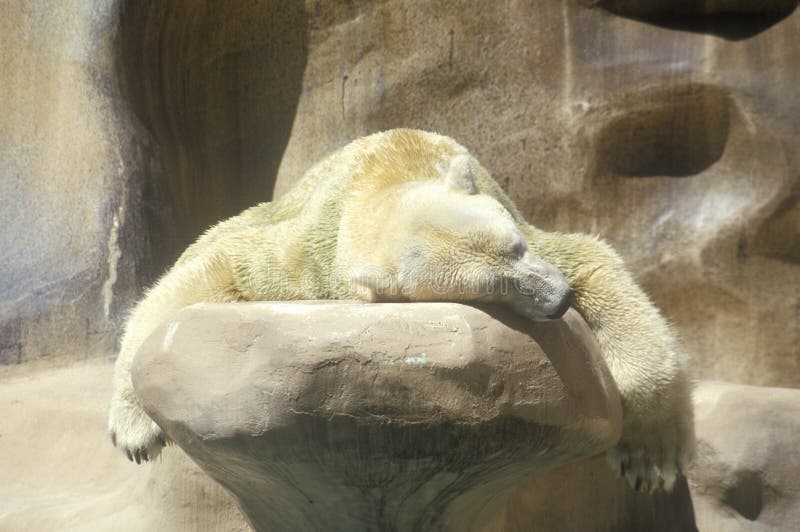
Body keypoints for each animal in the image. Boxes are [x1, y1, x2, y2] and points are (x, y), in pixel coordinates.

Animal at [108, 129, 694, 493]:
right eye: (492, 289)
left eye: (517, 249)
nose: (559, 299)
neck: (381, 186)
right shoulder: (304, 259)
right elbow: (212, 270)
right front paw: (134, 428)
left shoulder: (526, 228)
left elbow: (592, 261)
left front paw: (650, 456)